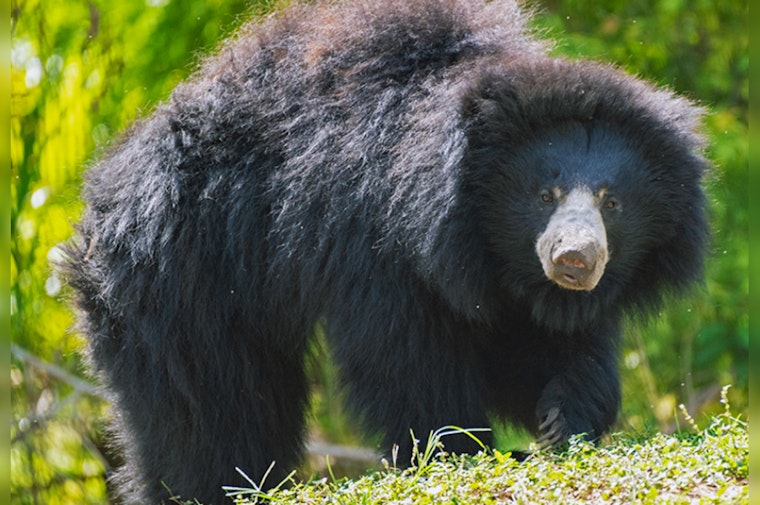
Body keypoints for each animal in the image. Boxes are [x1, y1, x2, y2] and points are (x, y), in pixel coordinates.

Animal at [64, 0, 710, 503]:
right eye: (545, 194)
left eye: (611, 201)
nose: (575, 259)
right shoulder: (376, 246)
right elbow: (404, 359)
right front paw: (458, 450)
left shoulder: (504, 276)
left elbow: (542, 345)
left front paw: (562, 419)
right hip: (178, 267)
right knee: (207, 401)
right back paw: (212, 487)